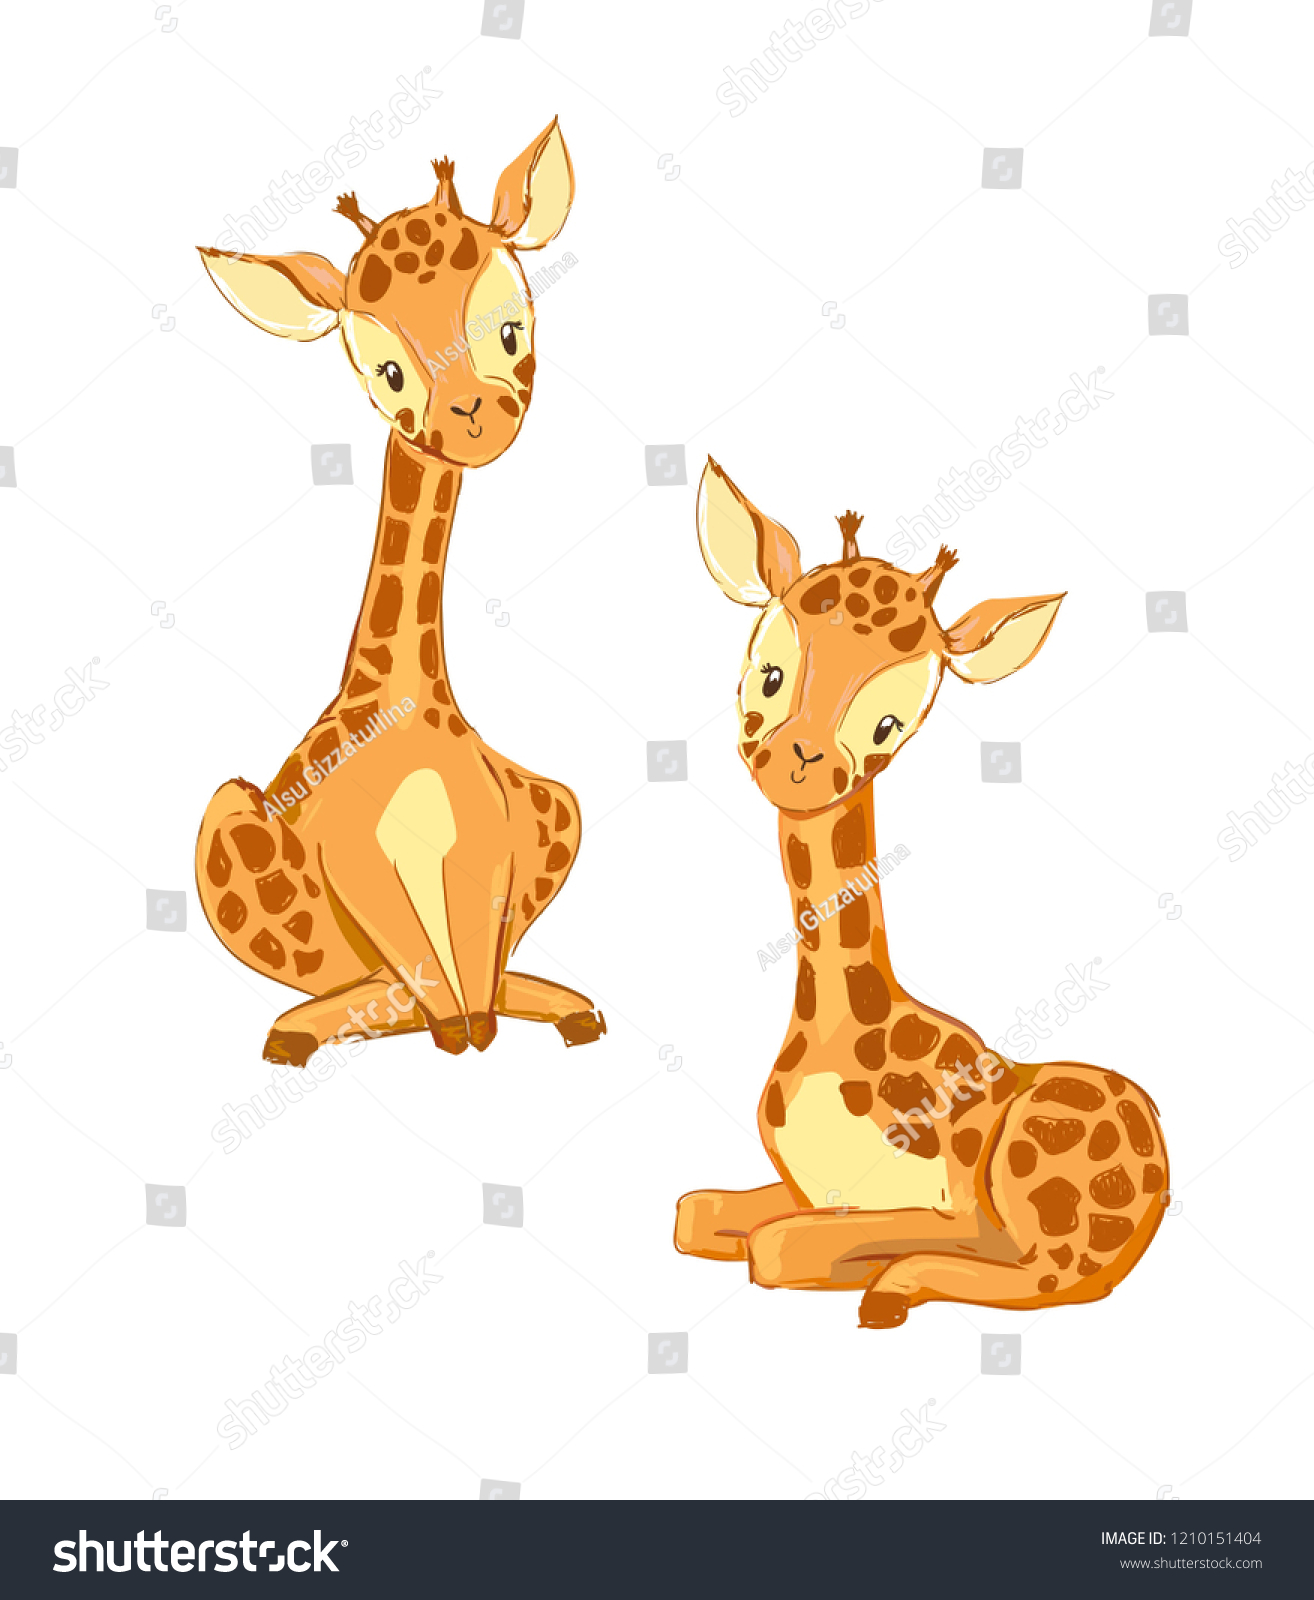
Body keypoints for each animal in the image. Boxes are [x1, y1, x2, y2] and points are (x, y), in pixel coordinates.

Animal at [193, 121, 606, 1064]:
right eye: (384, 370)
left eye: (510, 327)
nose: (474, 417)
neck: (409, 700)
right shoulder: (355, 866)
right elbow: (445, 1009)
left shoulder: (491, 850)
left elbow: (476, 992)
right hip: (227, 815)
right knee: (372, 987)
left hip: (557, 803)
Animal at [674, 459, 1168, 1328]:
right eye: (769, 672)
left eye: (890, 724)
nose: (798, 763)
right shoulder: (798, 1185)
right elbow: (698, 1213)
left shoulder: (948, 1201)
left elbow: (783, 1248)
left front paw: (873, 1271)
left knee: (1054, 1274)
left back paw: (895, 1285)